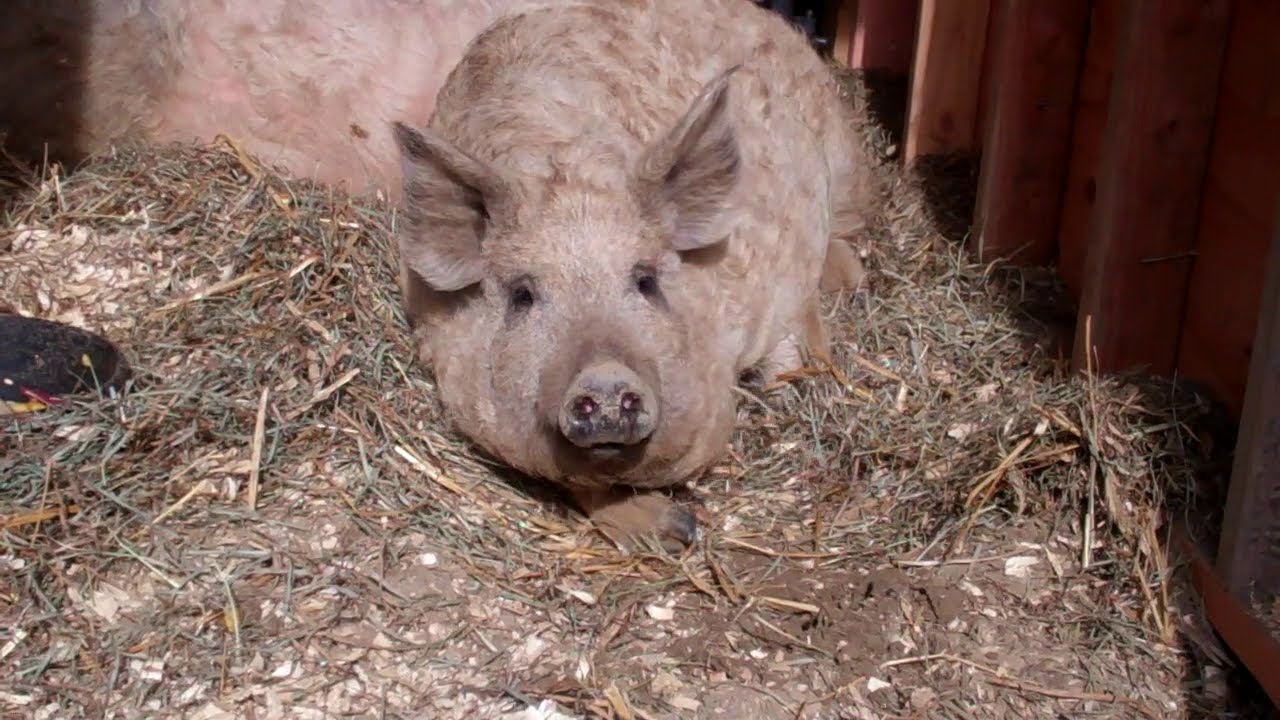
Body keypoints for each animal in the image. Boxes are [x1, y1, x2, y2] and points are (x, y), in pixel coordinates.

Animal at [392, 0, 873, 550]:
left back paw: (850, 283)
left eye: (646, 281)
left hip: (845, 166)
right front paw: (675, 529)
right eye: (522, 295)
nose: (604, 379)